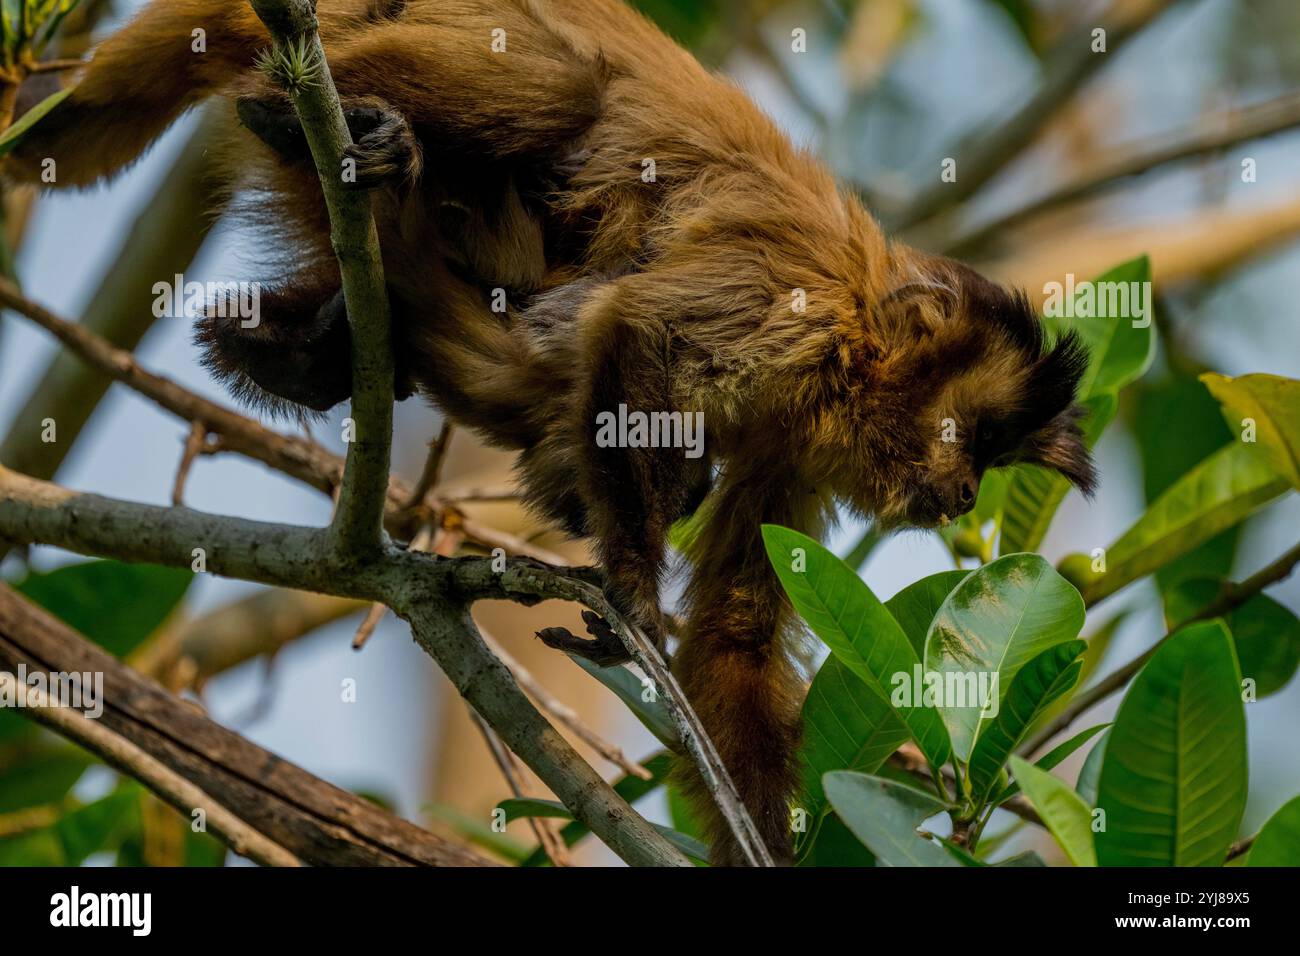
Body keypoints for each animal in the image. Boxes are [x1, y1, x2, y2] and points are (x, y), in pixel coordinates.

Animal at [6, 0, 1096, 865]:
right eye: (965, 438)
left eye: (986, 459)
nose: (964, 492)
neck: (859, 331)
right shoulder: (798, 299)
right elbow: (637, 330)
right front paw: (630, 588)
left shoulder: (793, 437)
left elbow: (735, 632)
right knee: (566, 92)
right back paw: (296, 114)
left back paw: (310, 346)